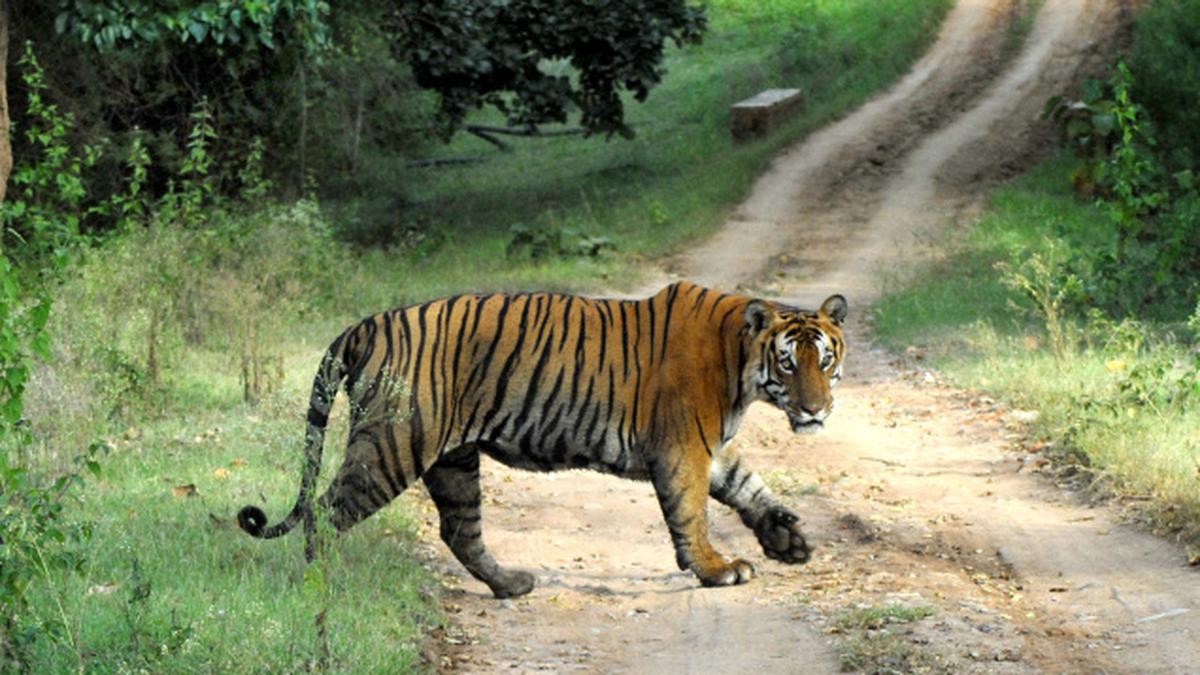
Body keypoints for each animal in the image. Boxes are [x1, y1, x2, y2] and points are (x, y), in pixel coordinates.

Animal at [238, 281, 847, 598]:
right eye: (788, 364)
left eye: (825, 360)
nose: (815, 410)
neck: (741, 363)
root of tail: (366, 324)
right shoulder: (682, 448)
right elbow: (692, 513)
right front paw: (717, 569)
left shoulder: (707, 448)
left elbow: (747, 483)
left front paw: (786, 540)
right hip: (394, 443)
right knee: (327, 511)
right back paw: (320, 582)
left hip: (453, 459)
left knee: (459, 531)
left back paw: (510, 584)